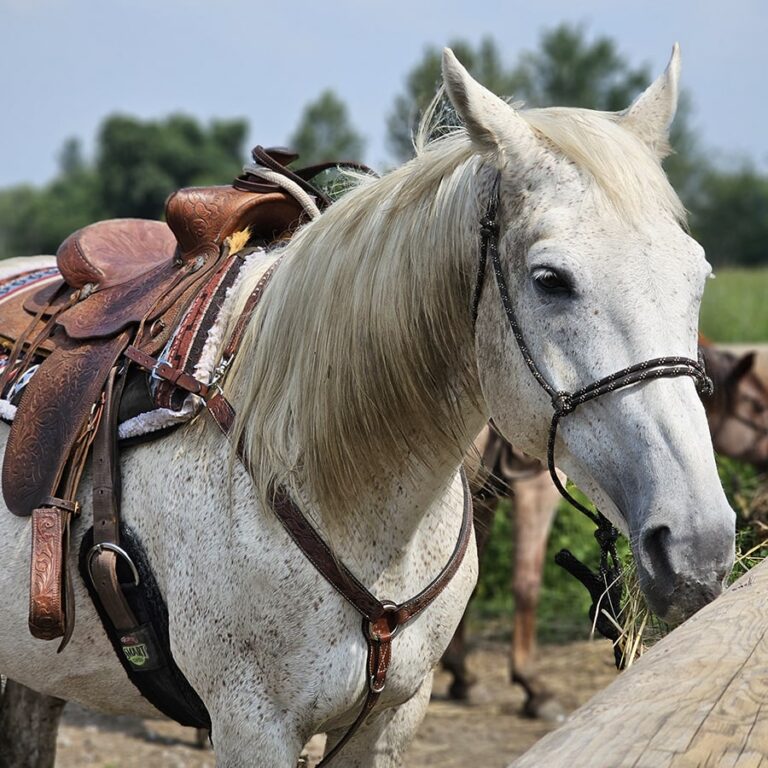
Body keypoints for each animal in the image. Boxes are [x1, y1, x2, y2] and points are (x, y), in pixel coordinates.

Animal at [443, 344, 768, 717]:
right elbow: (526, 585)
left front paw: (462, 676)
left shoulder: (485, 497)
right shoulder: (536, 487)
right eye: (757, 406)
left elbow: (470, 579)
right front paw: (532, 687)